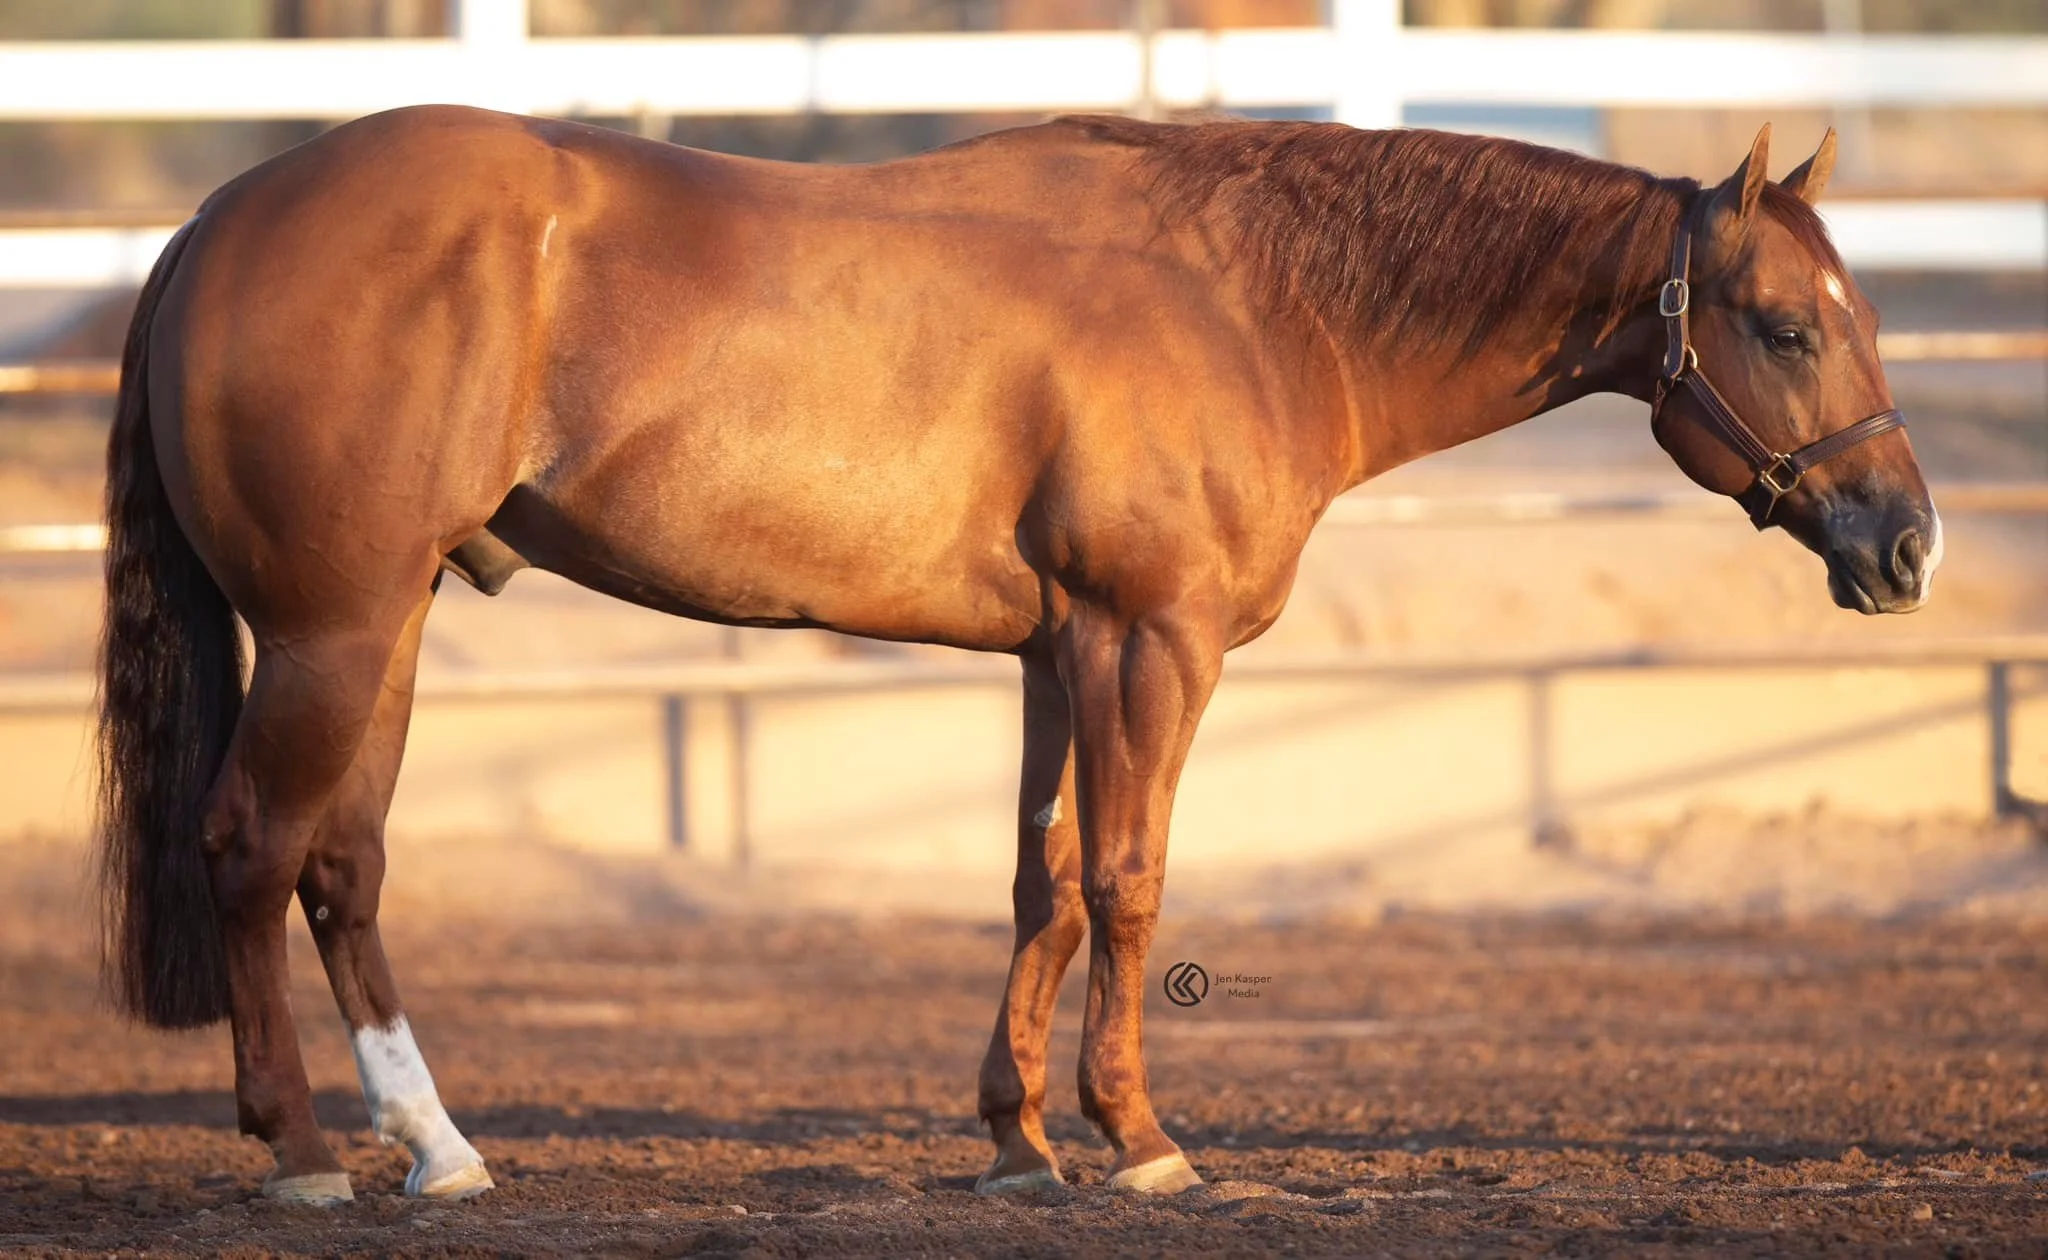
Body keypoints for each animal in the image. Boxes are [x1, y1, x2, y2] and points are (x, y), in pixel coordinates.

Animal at [96, 106, 1937, 1204]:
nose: (1902, 544)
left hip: (386, 628)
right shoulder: (1151, 642)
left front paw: (1019, 1139)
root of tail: (213, 223)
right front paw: (1140, 1140)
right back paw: (303, 1151)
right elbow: (1128, 882)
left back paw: (441, 1149)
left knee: (342, 868)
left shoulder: (1060, 656)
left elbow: (1041, 882)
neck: (1250, 301)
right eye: (1786, 327)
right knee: (251, 850)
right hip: (332, 635)